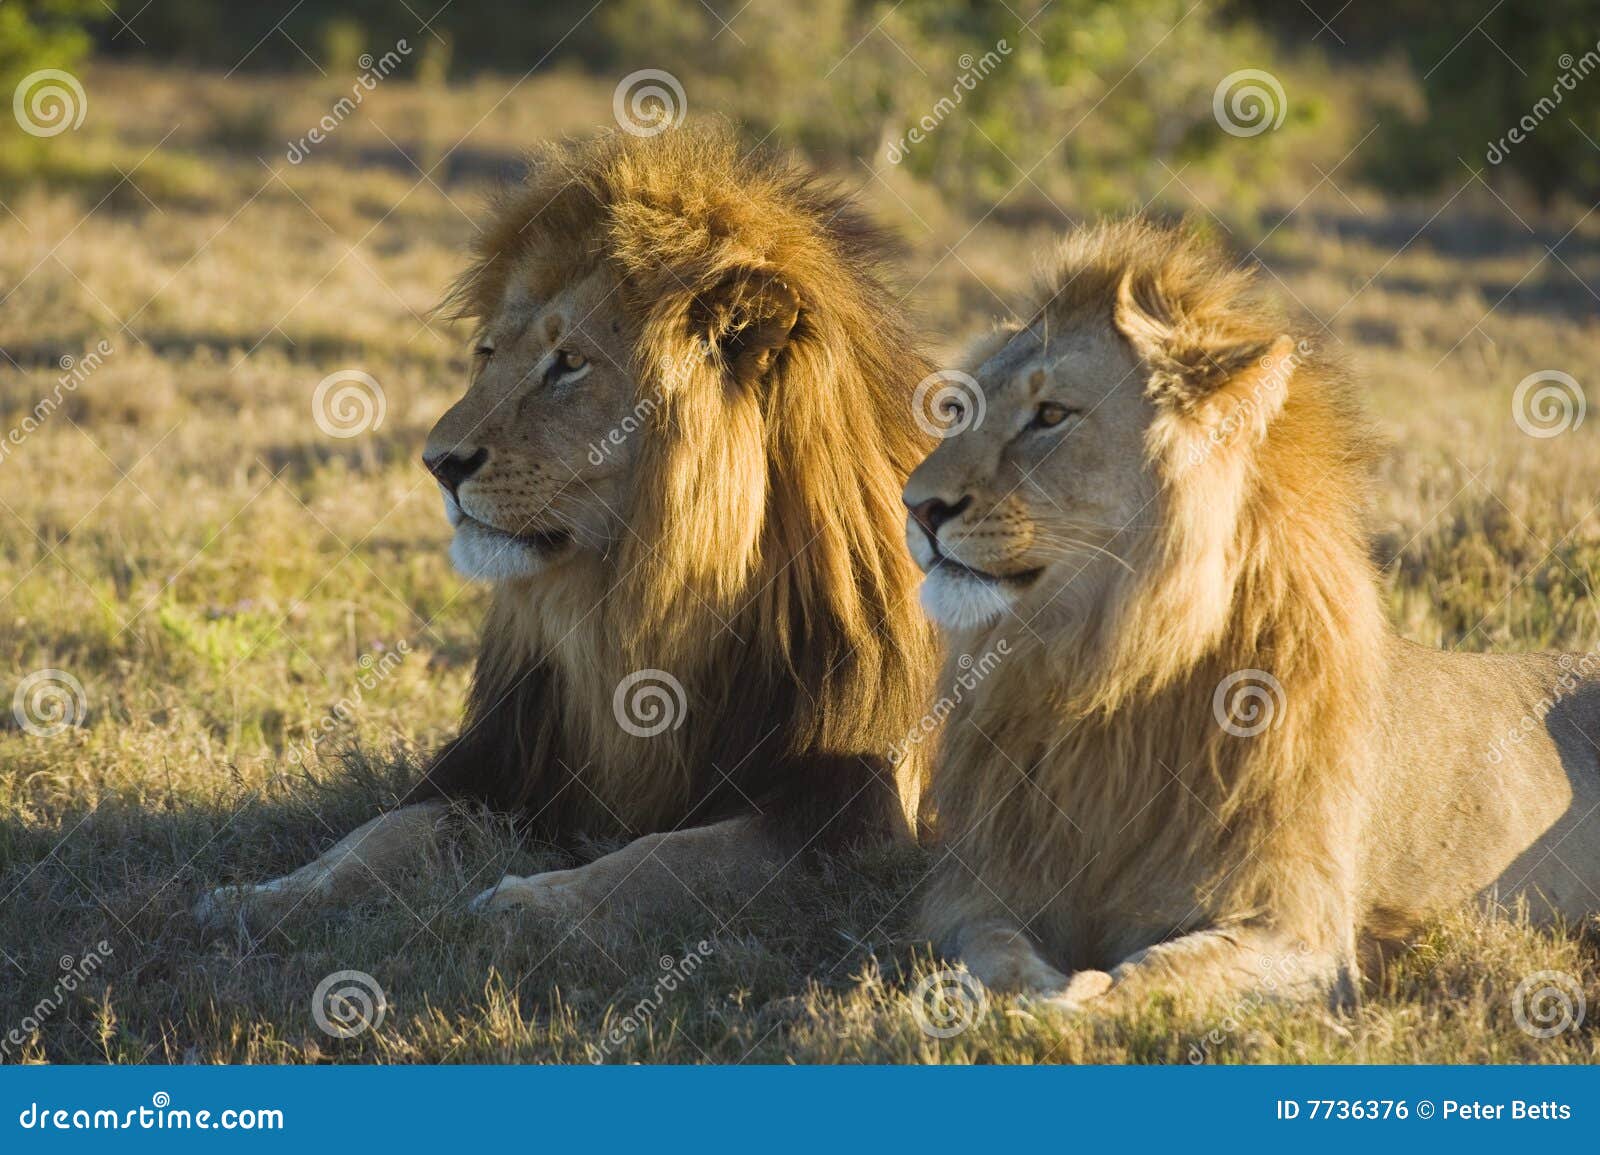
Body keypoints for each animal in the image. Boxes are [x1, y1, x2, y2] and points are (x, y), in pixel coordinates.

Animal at [196, 125, 937, 929]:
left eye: (570, 363)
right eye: (490, 352)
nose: (437, 464)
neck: (628, 606)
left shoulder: (847, 814)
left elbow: (666, 858)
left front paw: (530, 899)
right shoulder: (501, 762)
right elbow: (381, 831)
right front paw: (265, 894)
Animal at [902, 216, 1600, 1012]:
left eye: (1050, 415)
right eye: (958, 410)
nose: (916, 506)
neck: (1102, 667)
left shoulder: (1302, 930)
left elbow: (1153, 973)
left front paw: (1075, 1000)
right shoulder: (978, 892)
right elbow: (990, 949)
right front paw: (1034, 990)